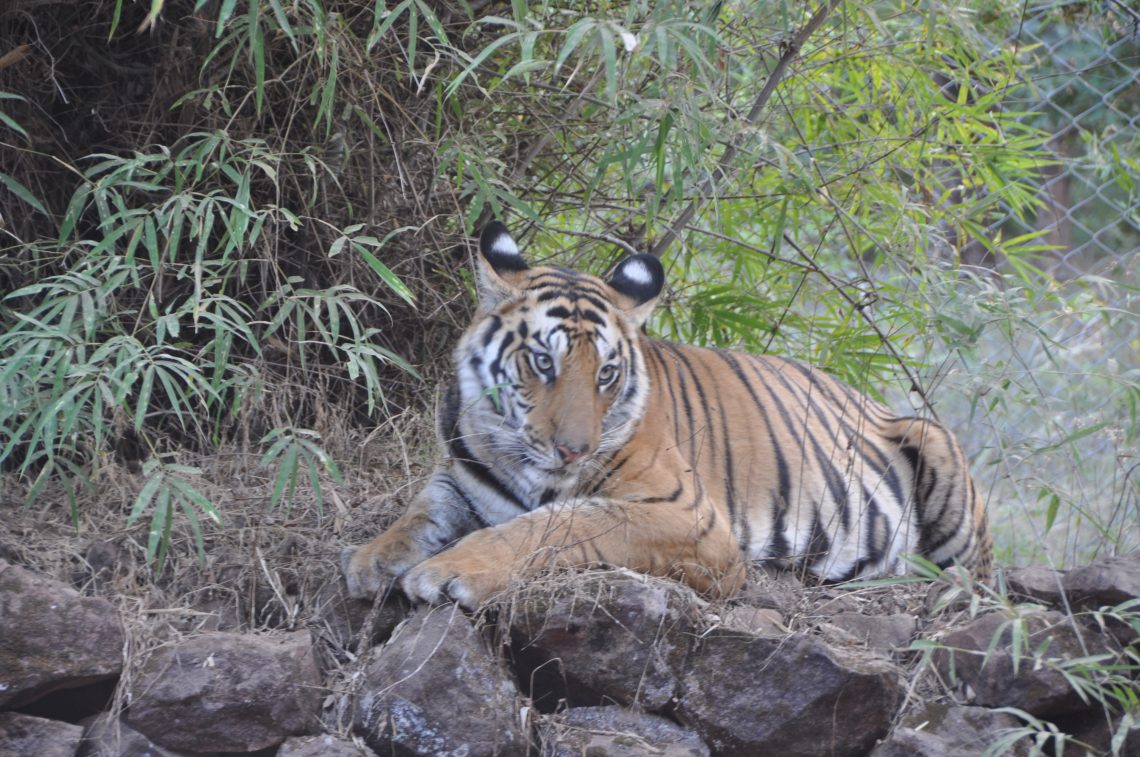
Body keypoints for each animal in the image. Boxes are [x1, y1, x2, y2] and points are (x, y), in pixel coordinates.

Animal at [341, 222, 993, 608]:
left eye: (606, 373)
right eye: (543, 362)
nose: (574, 450)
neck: (513, 455)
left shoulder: (686, 516)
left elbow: (559, 525)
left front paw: (451, 570)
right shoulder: (459, 476)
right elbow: (419, 514)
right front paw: (370, 559)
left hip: (935, 449)